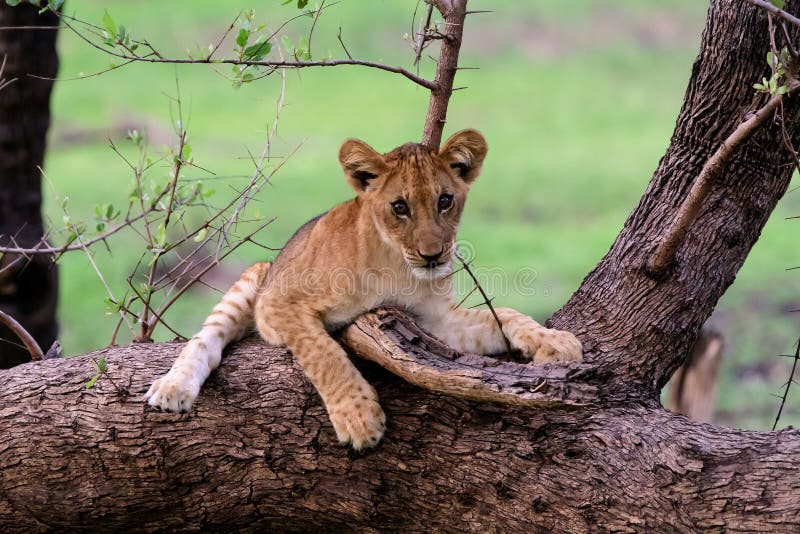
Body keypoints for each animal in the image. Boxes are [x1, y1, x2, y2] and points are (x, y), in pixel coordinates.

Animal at [145, 129, 583, 450]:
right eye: (400, 207)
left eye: (445, 201)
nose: (433, 256)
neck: (396, 266)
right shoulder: (278, 303)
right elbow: (325, 352)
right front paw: (359, 418)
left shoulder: (437, 320)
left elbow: (505, 316)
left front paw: (555, 341)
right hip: (258, 274)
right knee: (205, 339)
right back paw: (172, 388)